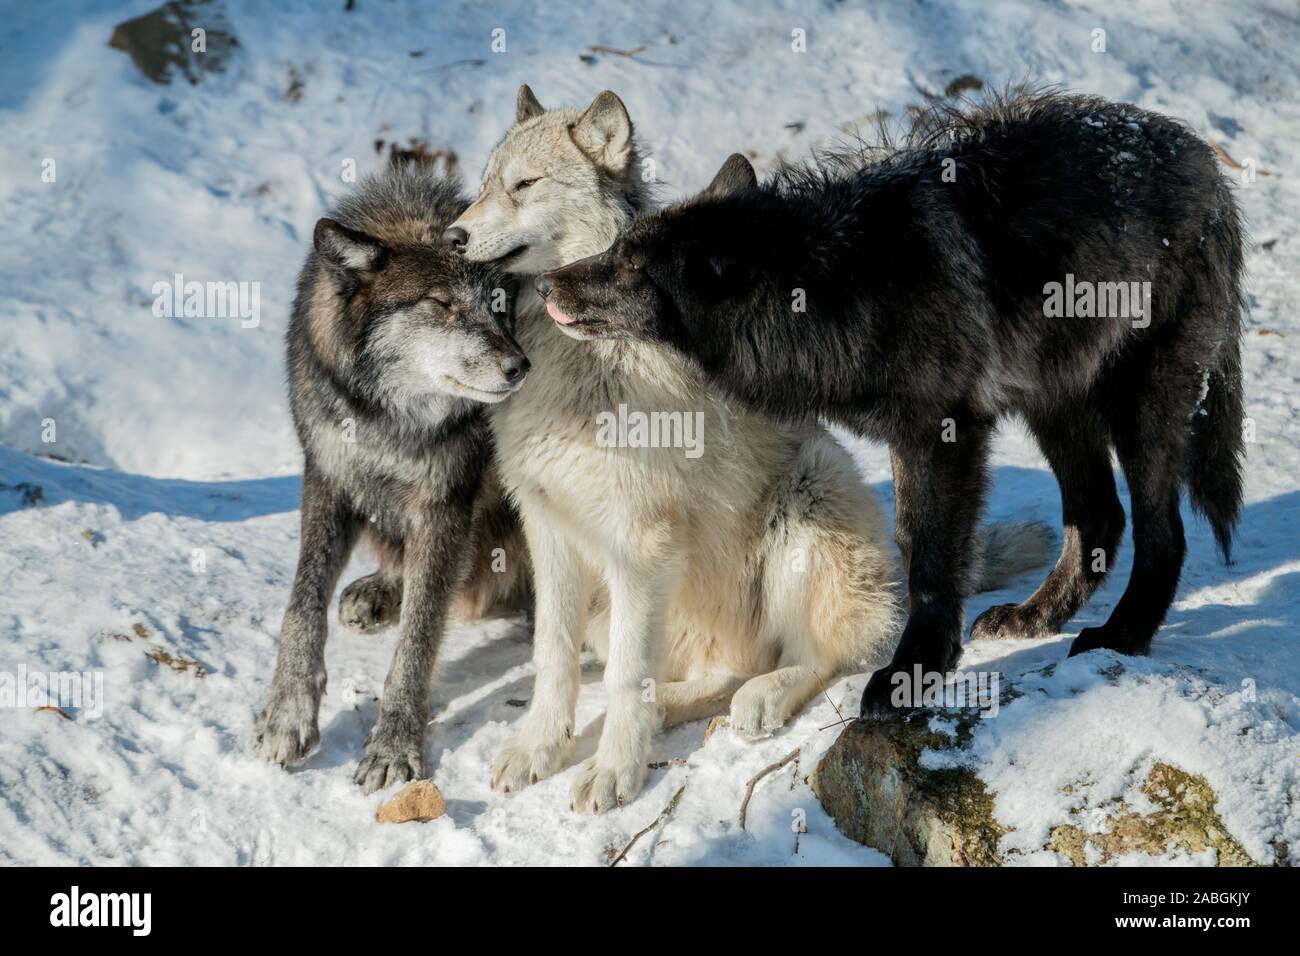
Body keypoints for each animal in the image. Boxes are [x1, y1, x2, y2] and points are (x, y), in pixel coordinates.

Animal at [254, 165, 531, 792]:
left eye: (498, 305)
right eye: (442, 303)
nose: (520, 367)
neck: (389, 417)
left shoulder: (445, 502)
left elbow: (419, 636)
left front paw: (393, 745)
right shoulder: (327, 476)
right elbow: (301, 605)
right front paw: (286, 712)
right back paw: (377, 591)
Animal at [431, 86, 1050, 813]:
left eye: (524, 186)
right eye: (484, 186)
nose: (453, 237)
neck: (582, 360)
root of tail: (896, 572)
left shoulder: (640, 543)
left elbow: (624, 678)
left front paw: (613, 772)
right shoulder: (550, 528)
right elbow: (554, 658)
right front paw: (540, 749)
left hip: (807, 505)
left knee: (814, 658)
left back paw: (760, 699)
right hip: (622, 610)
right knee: (714, 670)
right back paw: (668, 709)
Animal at [535, 90, 1247, 720]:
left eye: (634, 267)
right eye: (617, 246)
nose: (544, 283)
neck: (835, 283)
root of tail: (1205, 160)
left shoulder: (943, 432)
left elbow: (929, 559)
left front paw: (913, 674)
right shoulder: (914, 436)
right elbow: (914, 547)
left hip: (1139, 404)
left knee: (1162, 532)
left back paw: (1121, 636)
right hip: (1054, 406)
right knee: (1099, 518)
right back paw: (1035, 616)